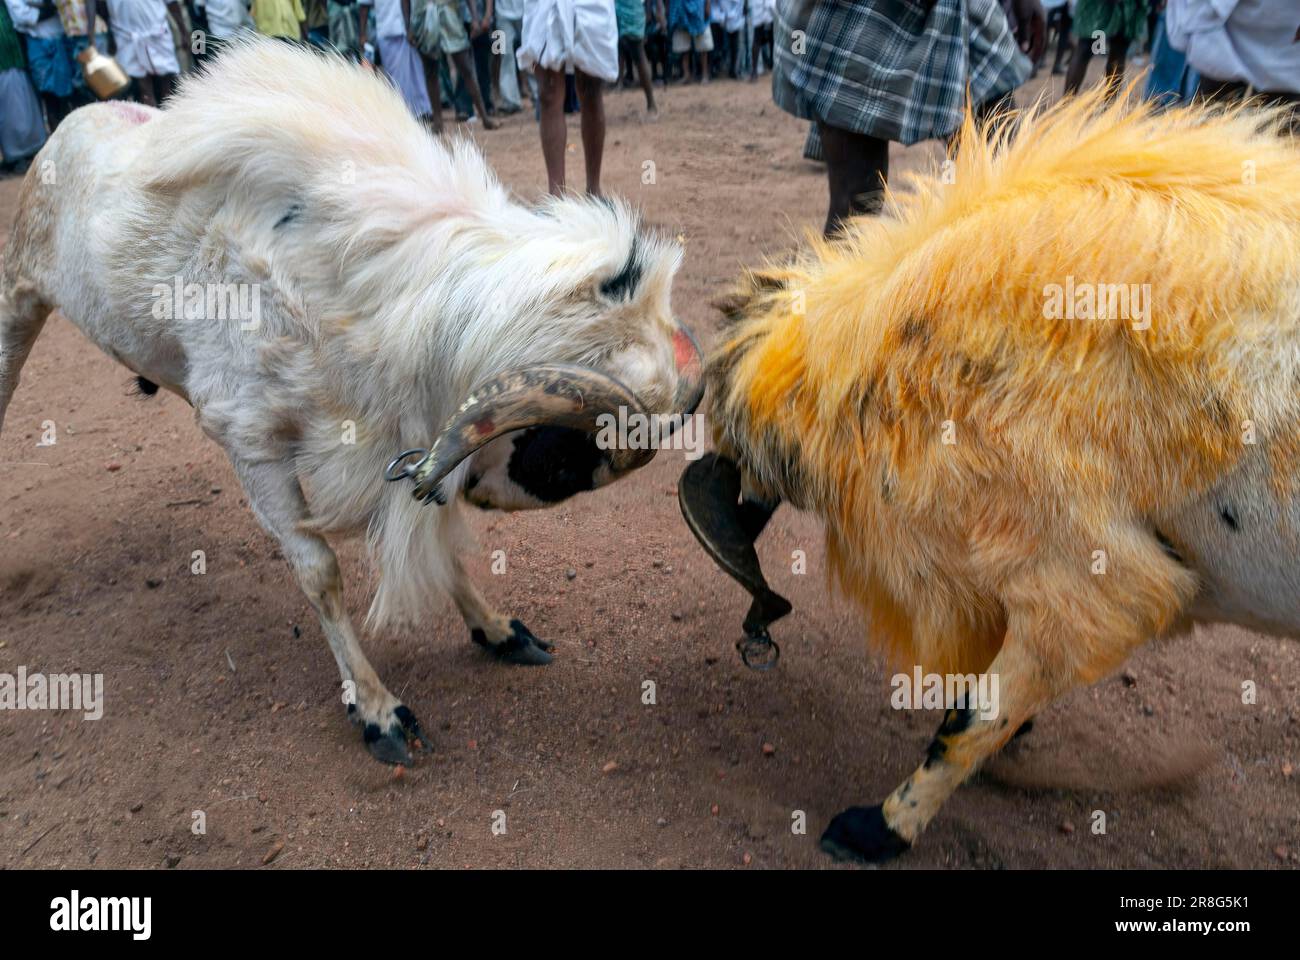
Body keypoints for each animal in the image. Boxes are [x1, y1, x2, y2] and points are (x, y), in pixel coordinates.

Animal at [0, 39, 702, 765]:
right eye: (565, 454)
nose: (496, 494)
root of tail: (77, 119)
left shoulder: (404, 437)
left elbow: (437, 539)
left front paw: (497, 629)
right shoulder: (250, 438)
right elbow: (320, 573)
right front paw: (376, 708)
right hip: (18, 298)